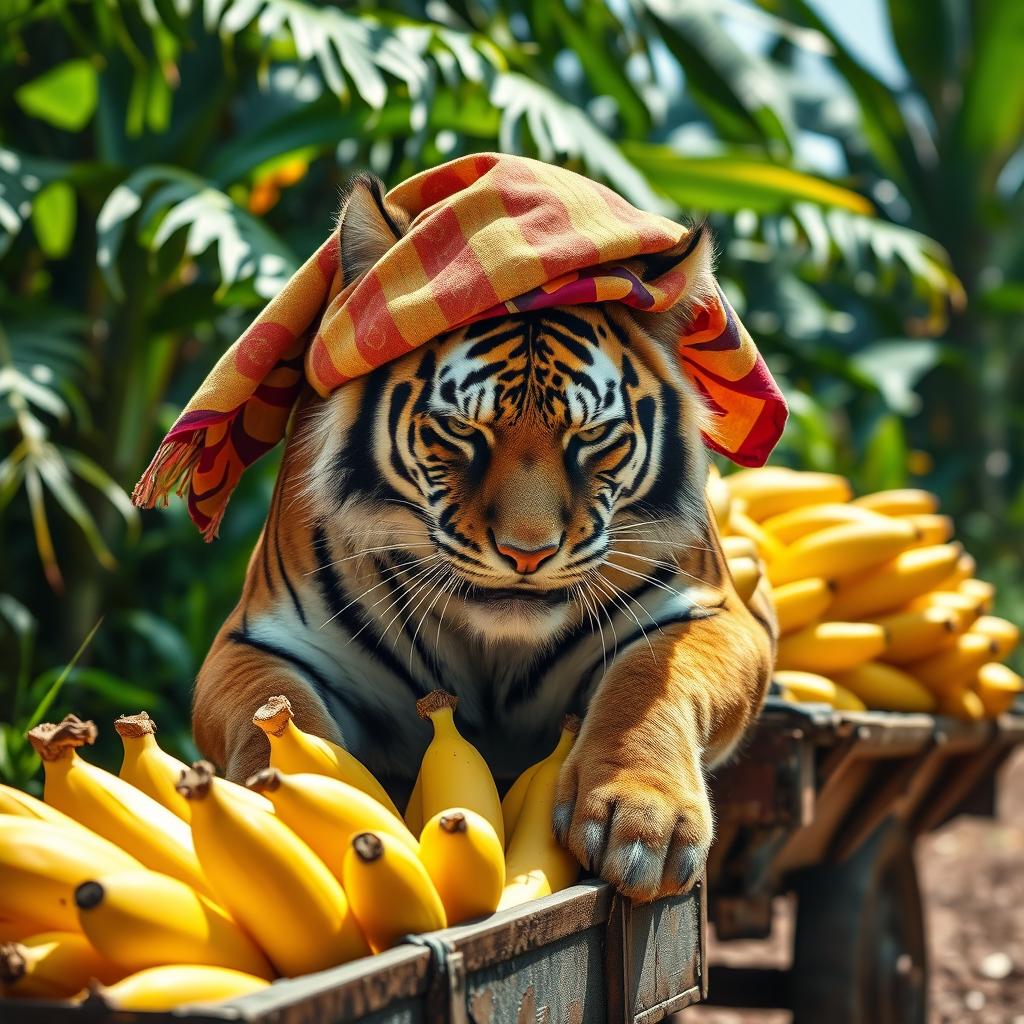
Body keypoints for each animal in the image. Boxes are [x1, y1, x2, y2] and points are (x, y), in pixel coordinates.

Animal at [194, 174, 777, 902]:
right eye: (461, 430)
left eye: (589, 436)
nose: (528, 554)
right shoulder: (254, 642)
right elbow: (274, 709)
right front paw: (286, 804)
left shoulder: (714, 612)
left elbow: (650, 681)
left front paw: (646, 821)